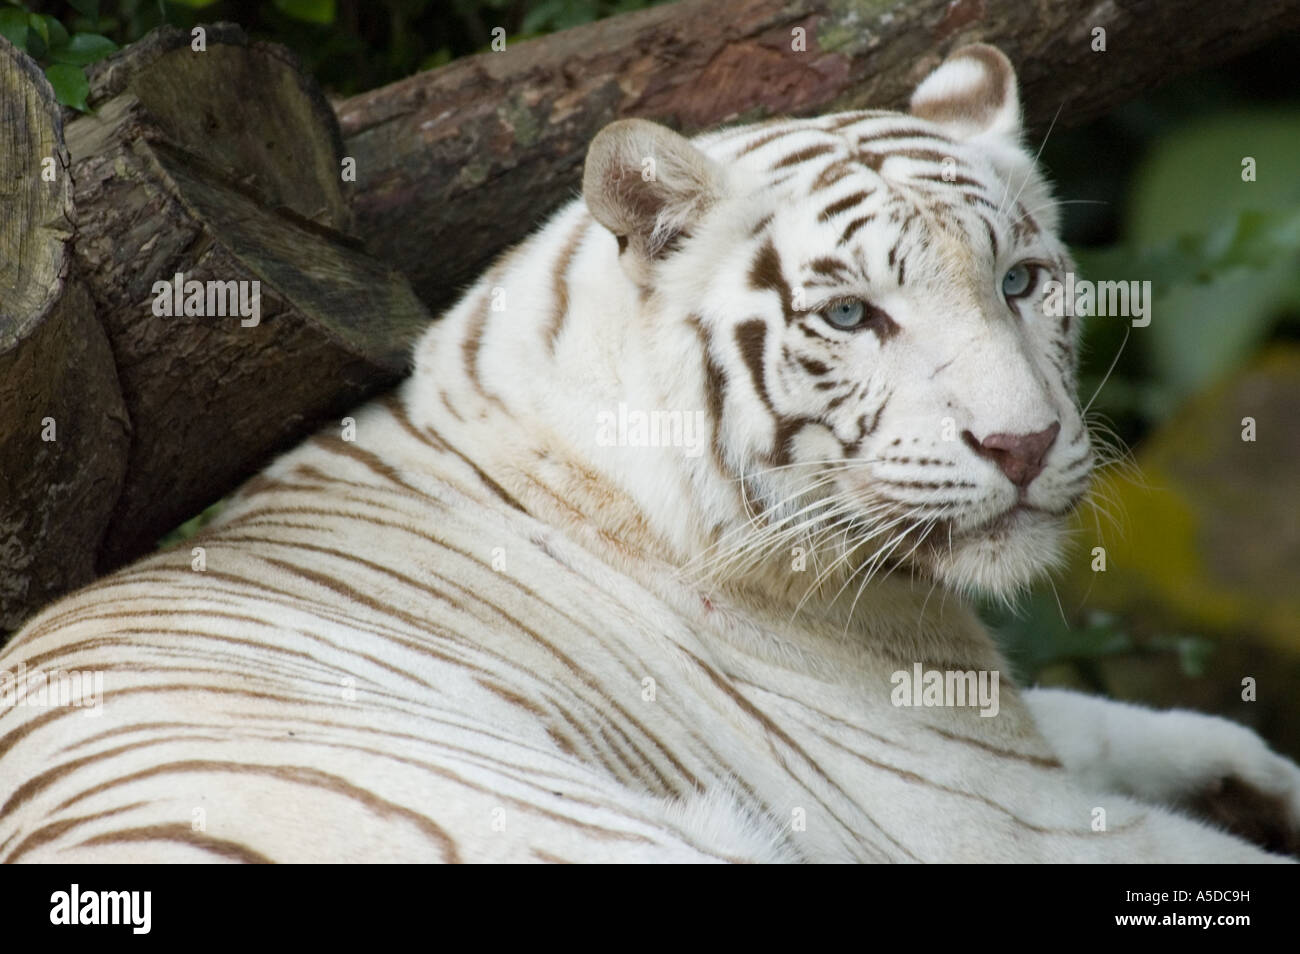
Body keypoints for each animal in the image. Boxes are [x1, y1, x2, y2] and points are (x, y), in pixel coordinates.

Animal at [1, 44, 1297, 863]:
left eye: (1021, 281)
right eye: (849, 316)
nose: (1022, 444)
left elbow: (1105, 718)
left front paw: (1258, 779)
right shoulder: (993, 819)